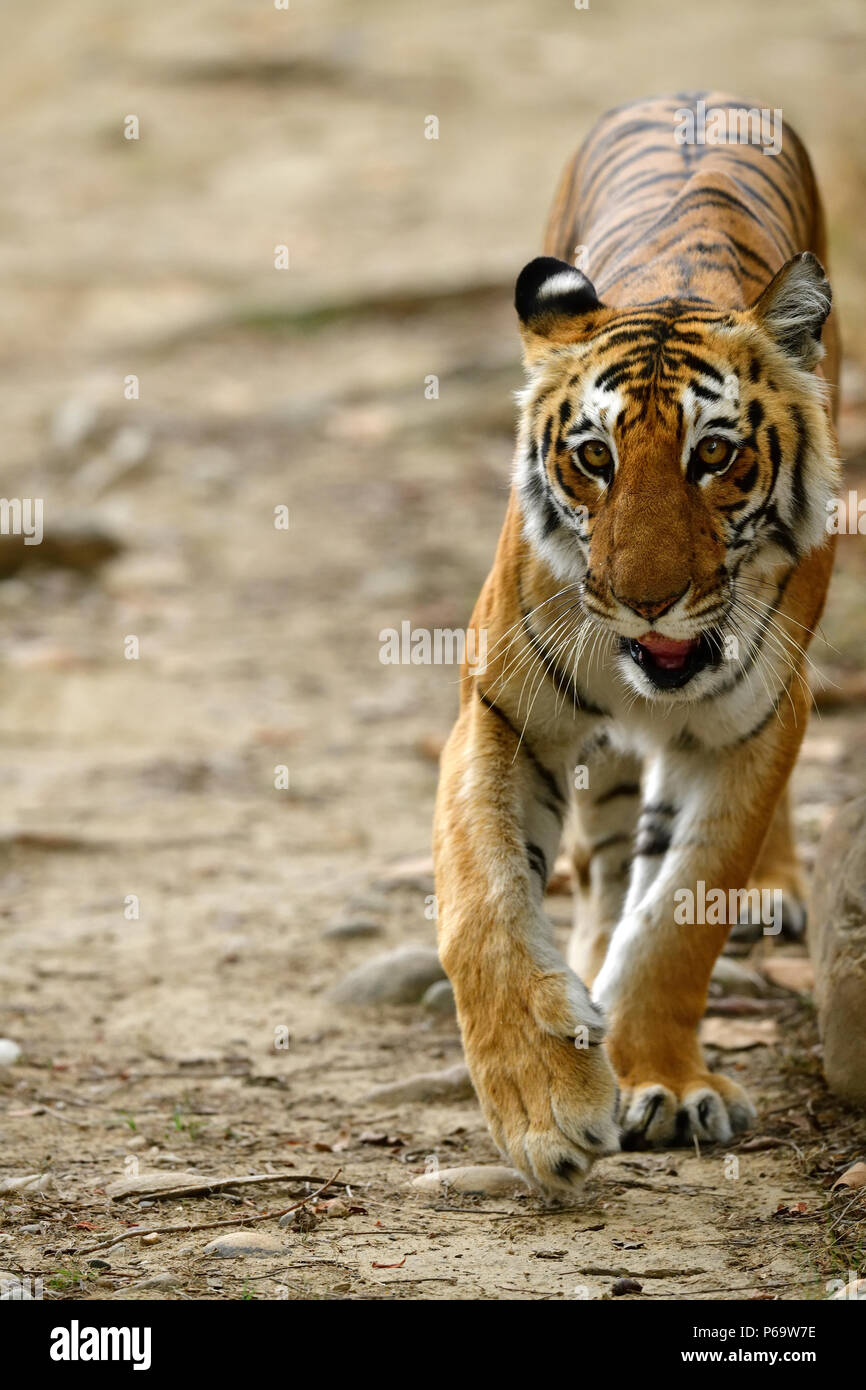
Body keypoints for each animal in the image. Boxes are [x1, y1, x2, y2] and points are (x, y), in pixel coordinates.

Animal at [433, 92, 840, 1197]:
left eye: (715, 454)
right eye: (592, 458)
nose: (644, 602)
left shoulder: (755, 726)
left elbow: (679, 919)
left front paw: (658, 1080)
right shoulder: (500, 714)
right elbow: (482, 903)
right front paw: (545, 1103)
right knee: (607, 848)